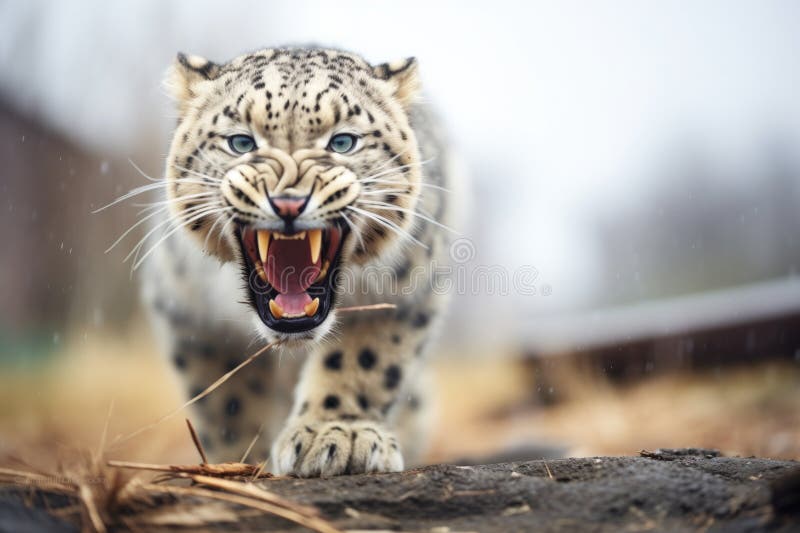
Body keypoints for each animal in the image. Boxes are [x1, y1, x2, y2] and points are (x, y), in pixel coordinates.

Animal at [140, 47, 460, 477]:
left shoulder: (407, 288)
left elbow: (365, 359)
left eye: (343, 141)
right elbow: (226, 399)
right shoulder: (188, 313)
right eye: (241, 142)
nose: (288, 202)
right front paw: (241, 459)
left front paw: (337, 435)